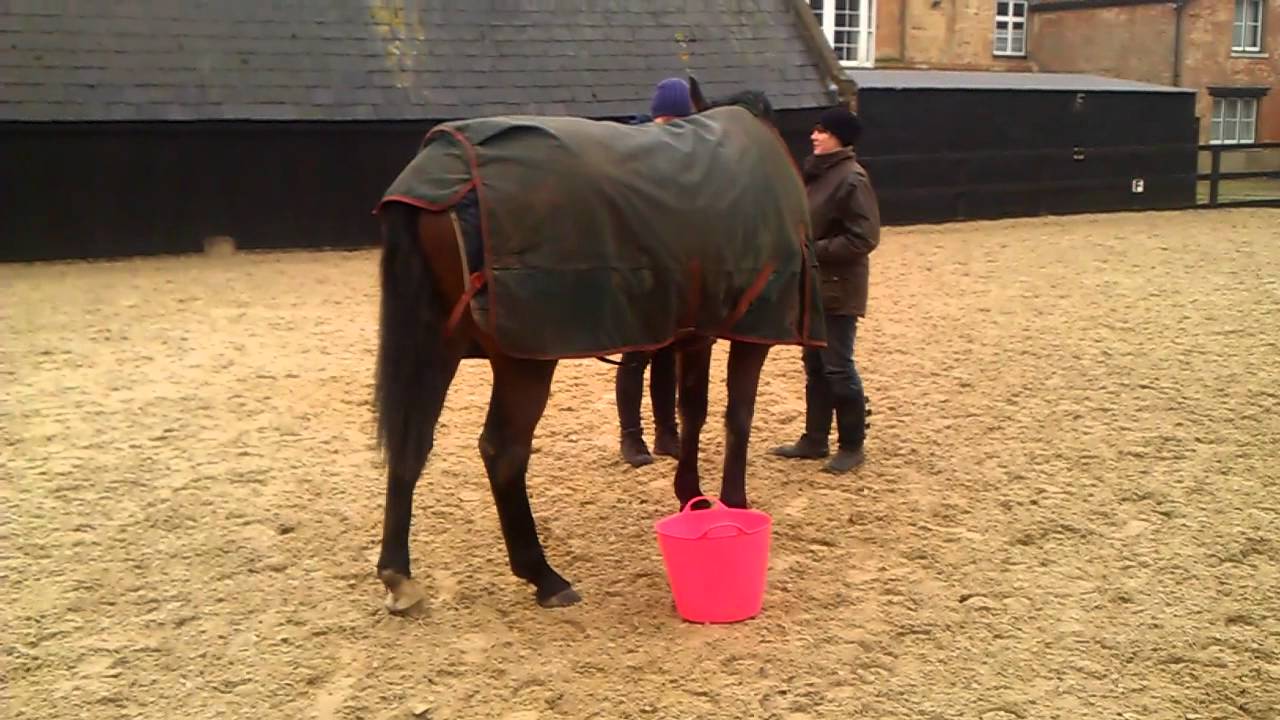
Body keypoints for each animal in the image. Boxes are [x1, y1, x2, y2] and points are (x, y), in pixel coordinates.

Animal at [371, 78, 825, 612]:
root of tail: (443, 170)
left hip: (435, 345)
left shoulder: (699, 332)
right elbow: (739, 416)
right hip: (525, 359)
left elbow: (693, 411)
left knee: (412, 442)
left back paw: (399, 575)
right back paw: (544, 576)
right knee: (503, 452)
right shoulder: (753, 331)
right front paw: (735, 501)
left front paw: (692, 497)